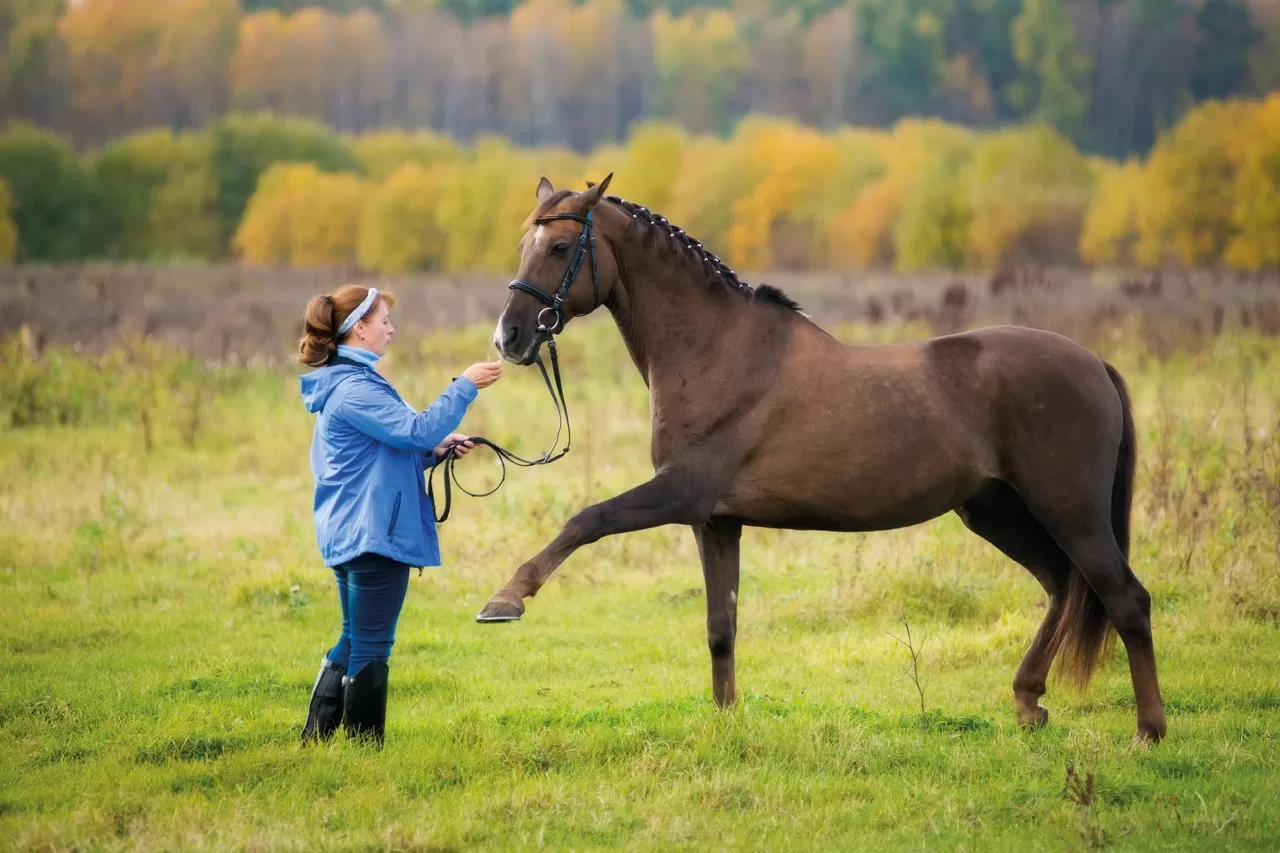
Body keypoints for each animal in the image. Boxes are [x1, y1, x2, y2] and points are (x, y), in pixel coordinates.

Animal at [476, 174, 1167, 742]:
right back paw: (1029, 703)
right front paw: (727, 725)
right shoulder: (716, 521)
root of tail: (1095, 365)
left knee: (1125, 600)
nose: (509, 338)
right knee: (1061, 585)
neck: (715, 349)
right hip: (994, 511)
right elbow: (720, 628)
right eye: (523, 244)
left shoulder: (682, 492)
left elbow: (586, 520)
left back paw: (1148, 732)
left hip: (1070, 510)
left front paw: (507, 599)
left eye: (560, 248)